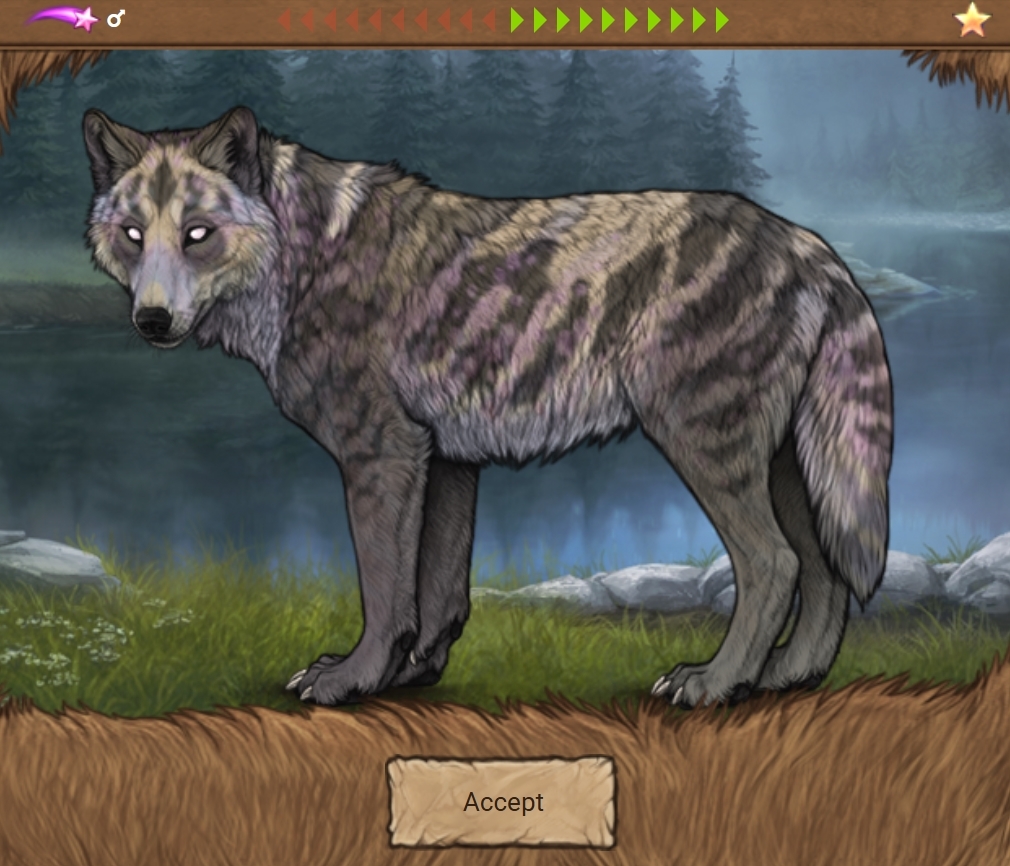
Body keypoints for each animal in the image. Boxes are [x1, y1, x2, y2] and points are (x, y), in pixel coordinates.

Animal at [82, 106, 893, 709]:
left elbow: (384, 588)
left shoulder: (383, 452)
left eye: (198, 234)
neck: (298, 258)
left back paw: (715, 683)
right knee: (822, 568)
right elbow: (437, 592)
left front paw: (351, 679)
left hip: (705, 446)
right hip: (784, 464)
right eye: (133, 235)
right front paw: (411, 675)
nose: (151, 321)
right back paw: (788, 676)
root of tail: (805, 242)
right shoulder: (445, 459)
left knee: (774, 564)